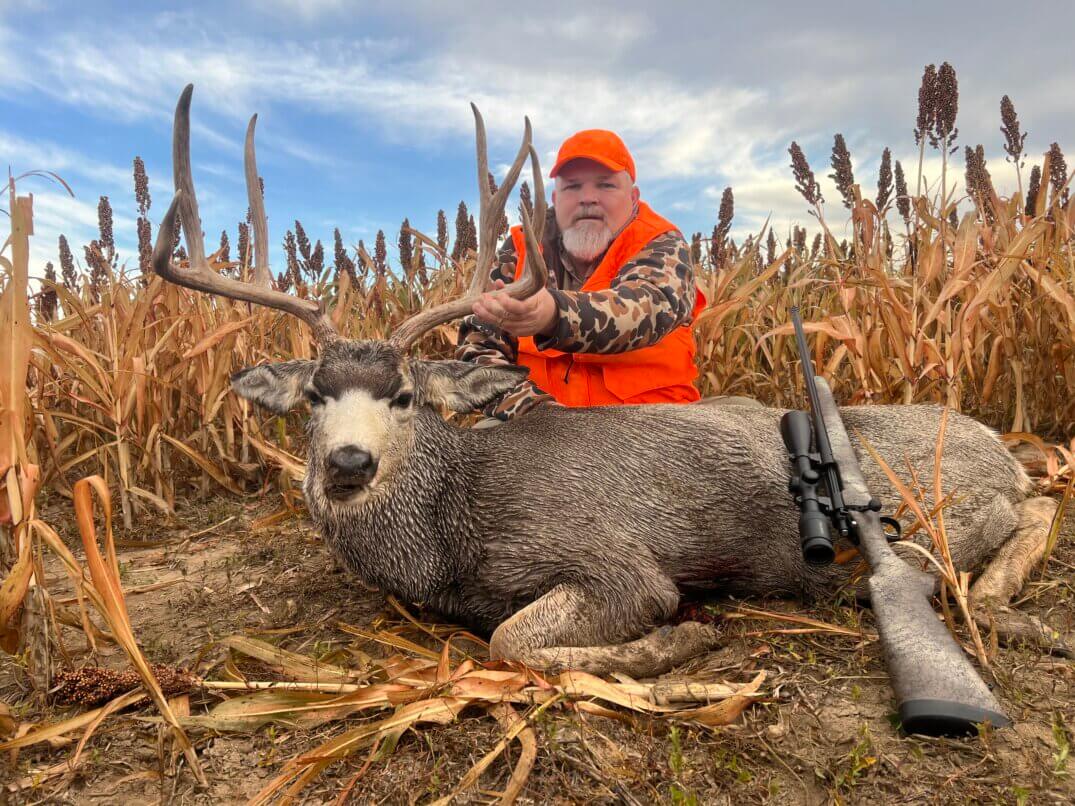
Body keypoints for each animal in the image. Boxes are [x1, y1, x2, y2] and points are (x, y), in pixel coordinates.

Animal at [152, 85, 1063, 679]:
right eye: (313, 397)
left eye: (404, 397)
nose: (347, 464)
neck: (450, 531)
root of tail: (996, 443)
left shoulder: (614, 560)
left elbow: (512, 642)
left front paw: (682, 644)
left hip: (943, 502)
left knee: (1005, 519)